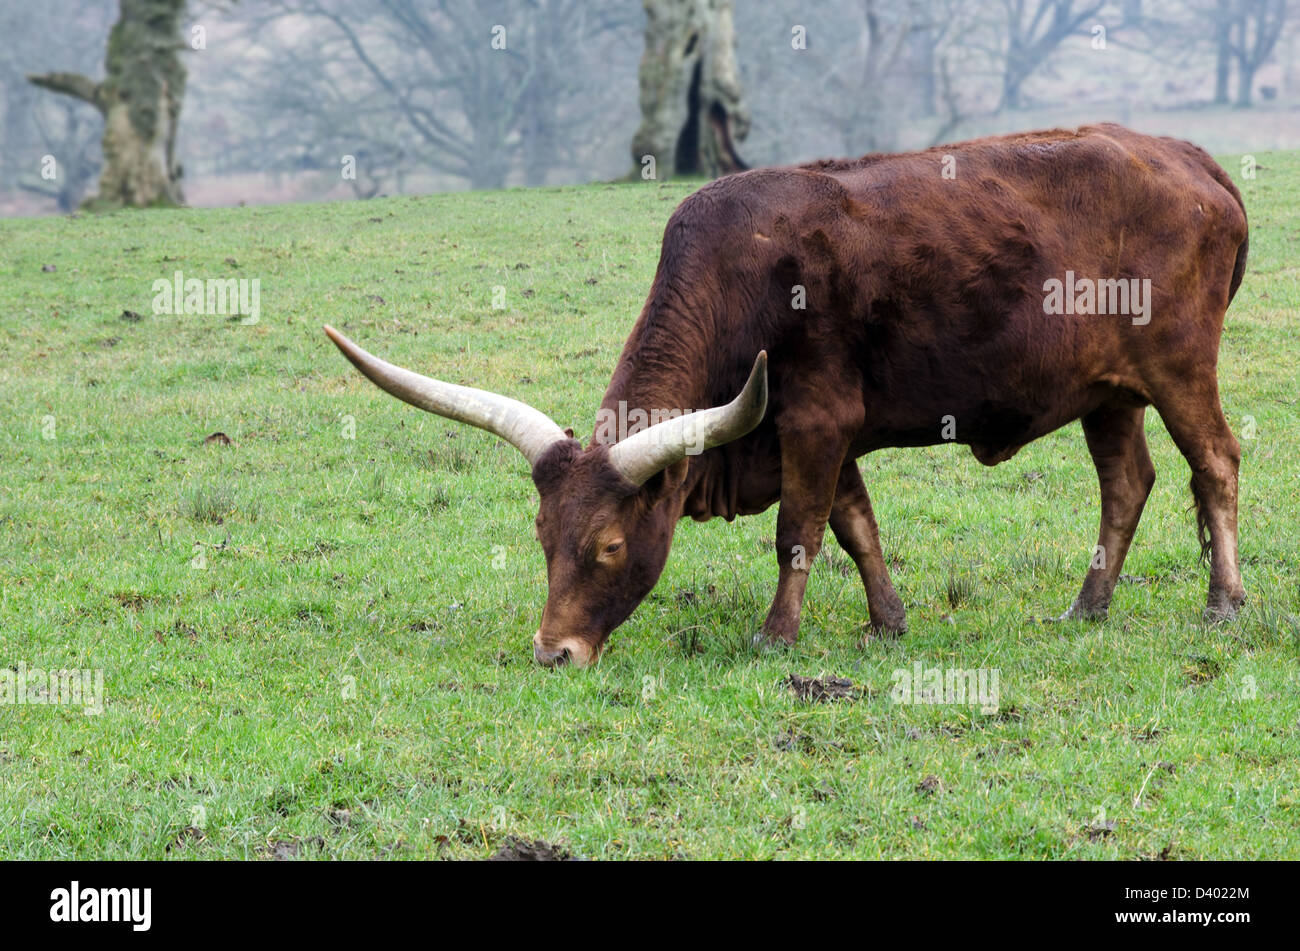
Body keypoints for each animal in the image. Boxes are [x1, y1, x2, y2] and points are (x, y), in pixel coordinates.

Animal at [325, 123, 1249, 668]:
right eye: (543, 535)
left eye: (611, 546)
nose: (554, 652)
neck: (738, 277)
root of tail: (1188, 155)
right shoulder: (819, 432)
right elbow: (855, 525)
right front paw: (887, 621)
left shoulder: (814, 420)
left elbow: (797, 534)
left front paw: (776, 636)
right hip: (1109, 392)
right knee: (1127, 483)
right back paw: (1087, 608)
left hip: (1178, 367)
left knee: (1215, 464)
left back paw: (1224, 603)